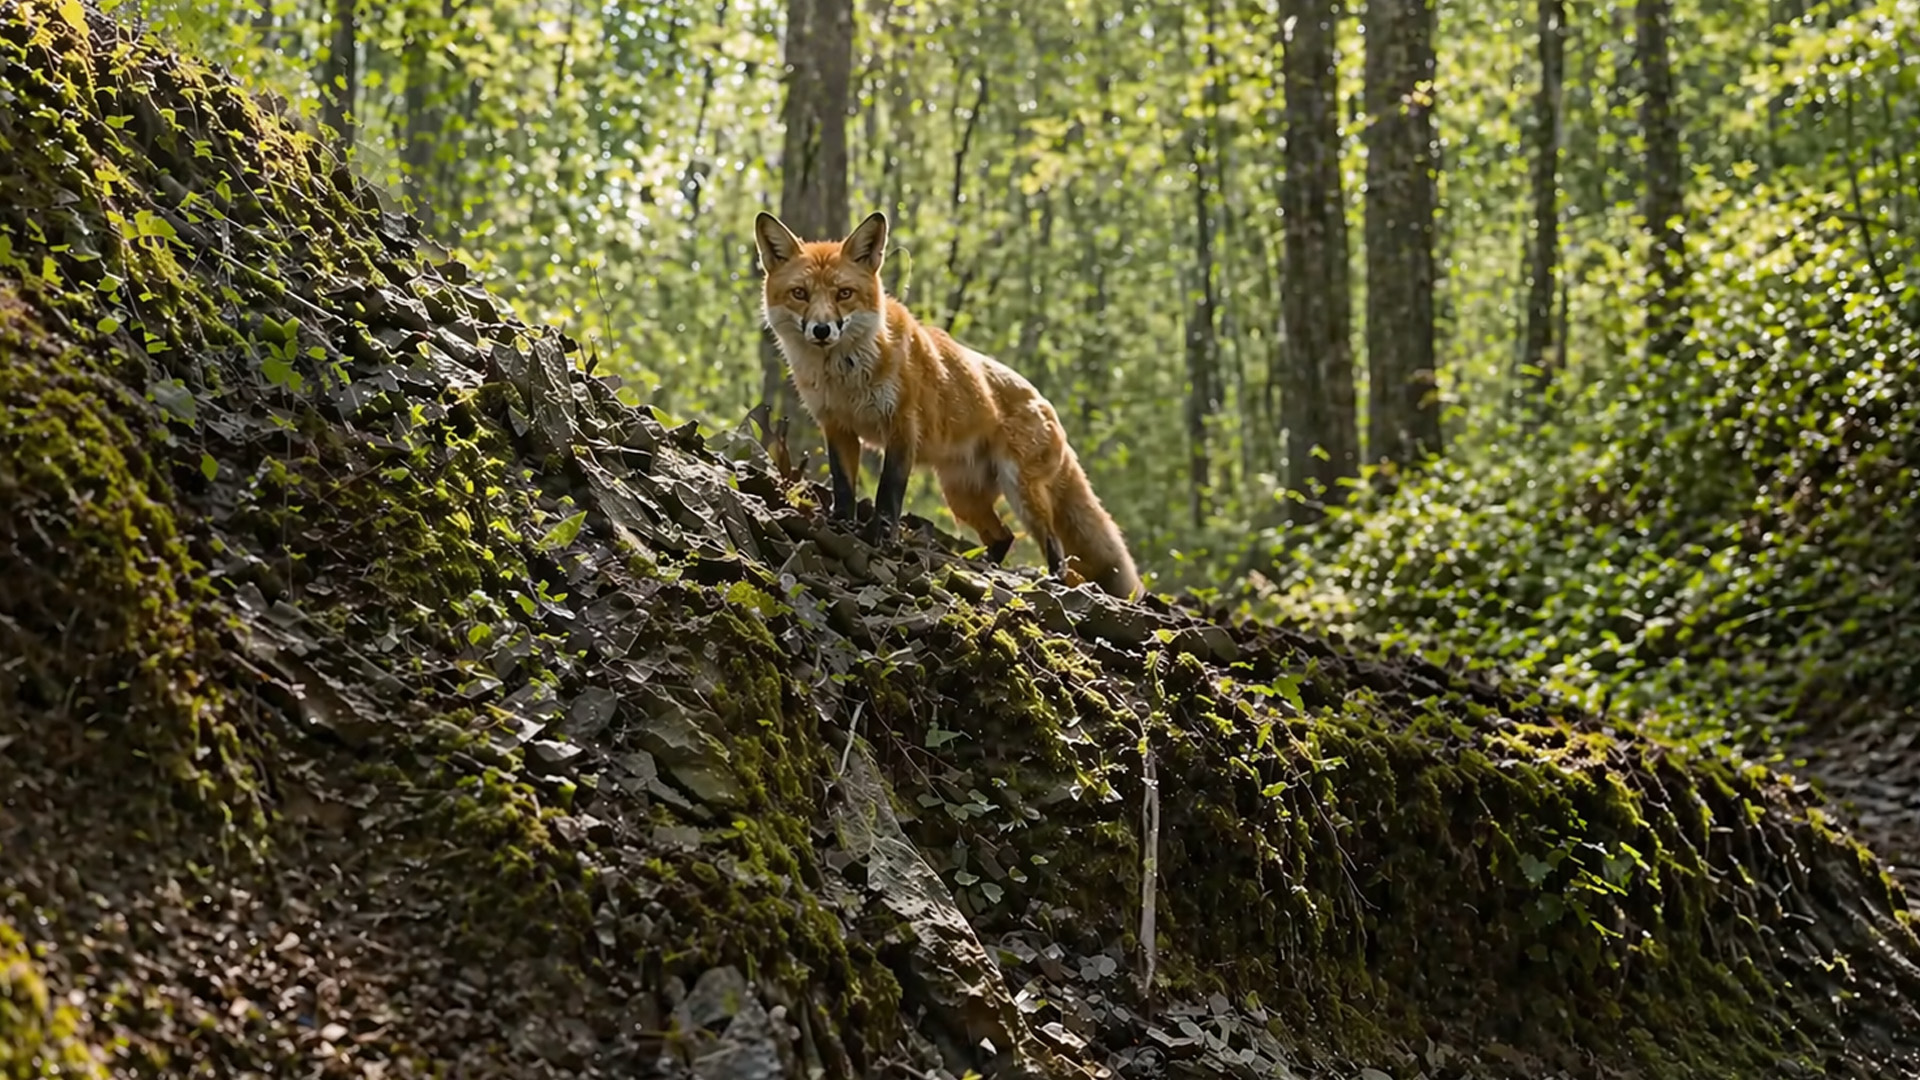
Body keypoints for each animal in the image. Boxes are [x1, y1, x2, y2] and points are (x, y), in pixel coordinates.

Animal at [753, 209, 1142, 601]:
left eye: (844, 293)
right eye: (800, 293)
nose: (821, 330)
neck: (845, 377)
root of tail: (1045, 404)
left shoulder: (902, 427)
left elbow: (887, 495)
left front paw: (880, 540)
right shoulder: (837, 426)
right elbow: (844, 486)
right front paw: (840, 526)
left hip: (1021, 491)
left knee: (1053, 545)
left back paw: (1050, 582)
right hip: (962, 497)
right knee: (1003, 537)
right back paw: (984, 569)